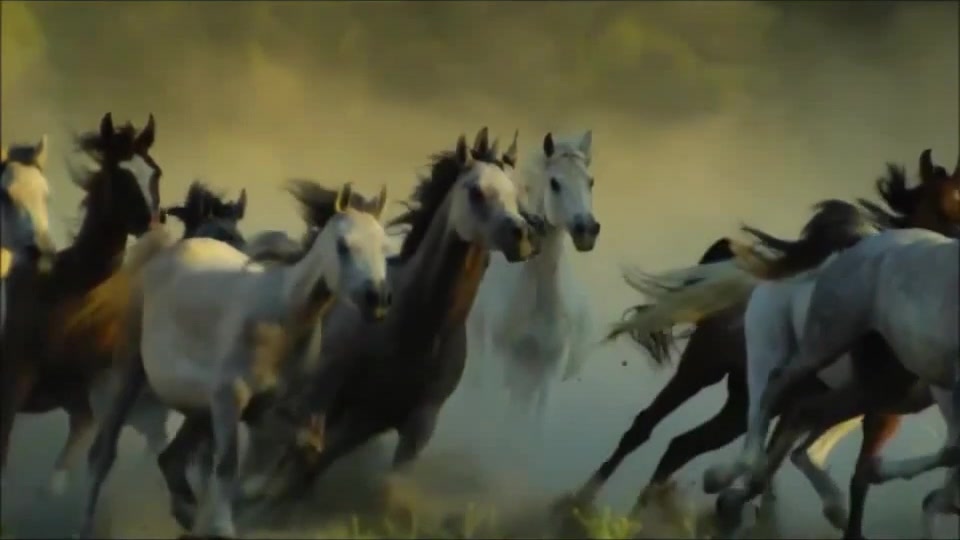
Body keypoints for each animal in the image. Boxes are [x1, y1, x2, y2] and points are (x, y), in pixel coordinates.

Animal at [77, 180, 393, 538]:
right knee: (102, 454)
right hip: (130, 373)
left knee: (171, 459)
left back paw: (188, 515)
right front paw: (222, 524)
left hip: (200, 409)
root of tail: (165, 254)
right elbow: (227, 465)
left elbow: (304, 446)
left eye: (385, 247)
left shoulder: (264, 408)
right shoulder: (231, 398)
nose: (377, 299)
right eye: (342, 245)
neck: (283, 318)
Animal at [235, 127, 539, 511]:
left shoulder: (414, 426)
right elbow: (296, 467)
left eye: (519, 193)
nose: (523, 237)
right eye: (476, 191)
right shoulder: (321, 401)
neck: (416, 330)